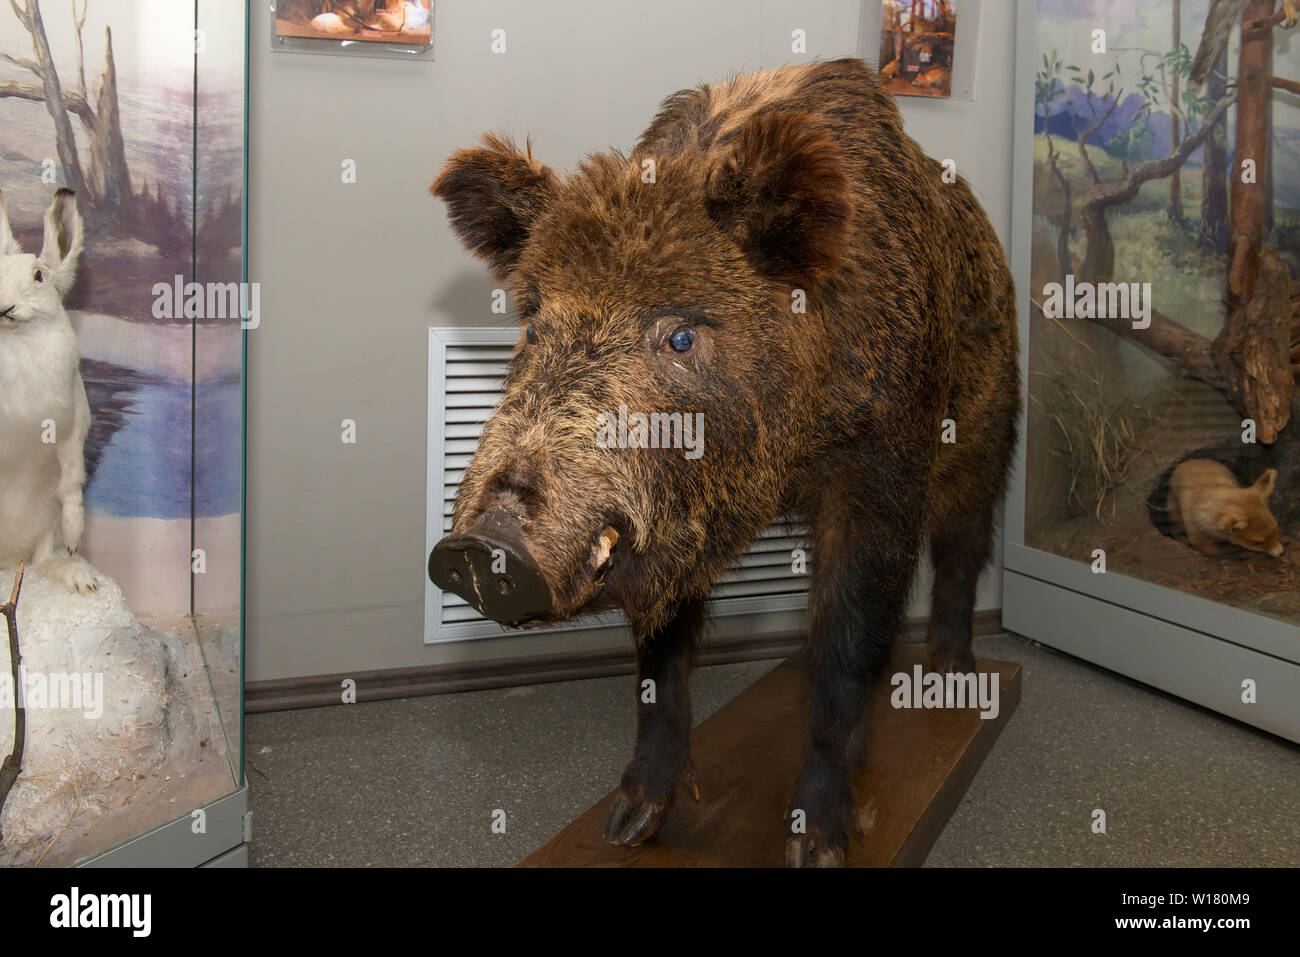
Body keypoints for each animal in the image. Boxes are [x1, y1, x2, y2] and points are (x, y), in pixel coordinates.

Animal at [428, 58, 1020, 866]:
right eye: (533, 323)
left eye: (681, 336)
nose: (478, 545)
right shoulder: (677, 524)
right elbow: (661, 655)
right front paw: (630, 826)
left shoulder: (881, 474)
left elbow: (849, 644)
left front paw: (818, 849)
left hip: (990, 432)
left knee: (964, 548)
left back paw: (954, 684)